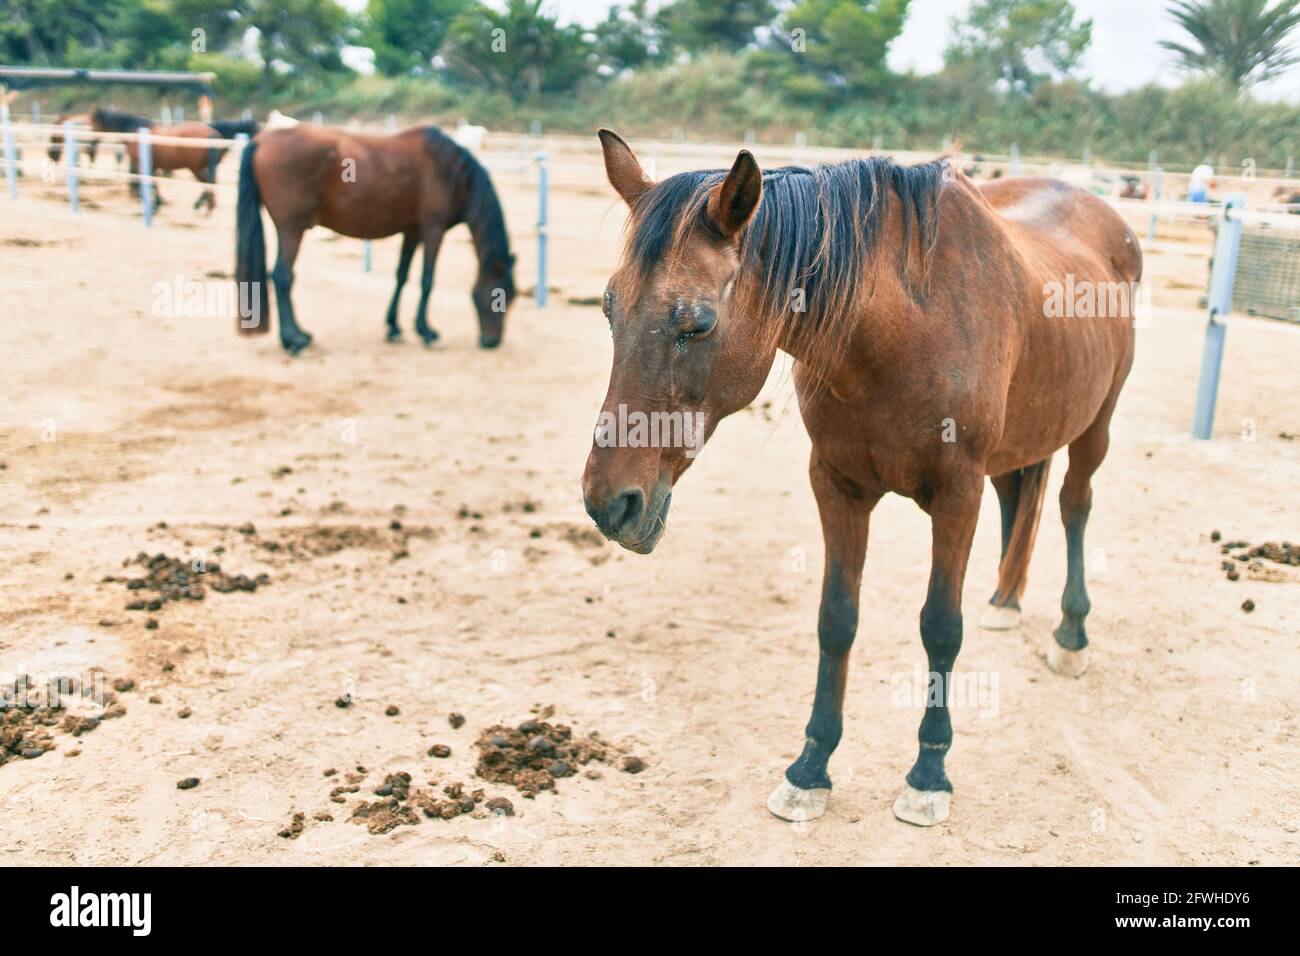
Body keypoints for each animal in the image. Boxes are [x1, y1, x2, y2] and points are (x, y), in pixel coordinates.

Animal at [234, 124, 517, 355]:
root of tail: (261, 140)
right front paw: (427, 332)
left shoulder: (412, 232)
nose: (492, 342)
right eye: (500, 295)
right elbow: (427, 280)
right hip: (292, 229)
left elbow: (402, 276)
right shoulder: (432, 230)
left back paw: (299, 335)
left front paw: (394, 328)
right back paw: (294, 340)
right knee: (282, 275)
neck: (449, 171)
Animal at [582, 130, 1140, 827]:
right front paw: (811, 766)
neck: (901, 332)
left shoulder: (957, 497)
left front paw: (929, 774)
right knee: (1023, 496)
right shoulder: (837, 487)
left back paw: (1071, 633)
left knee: (1072, 506)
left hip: (1097, 425)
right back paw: (1006, 602)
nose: (609, 504)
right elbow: (836, 620)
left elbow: (940, 627)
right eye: (609, 310)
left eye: (698, 323)